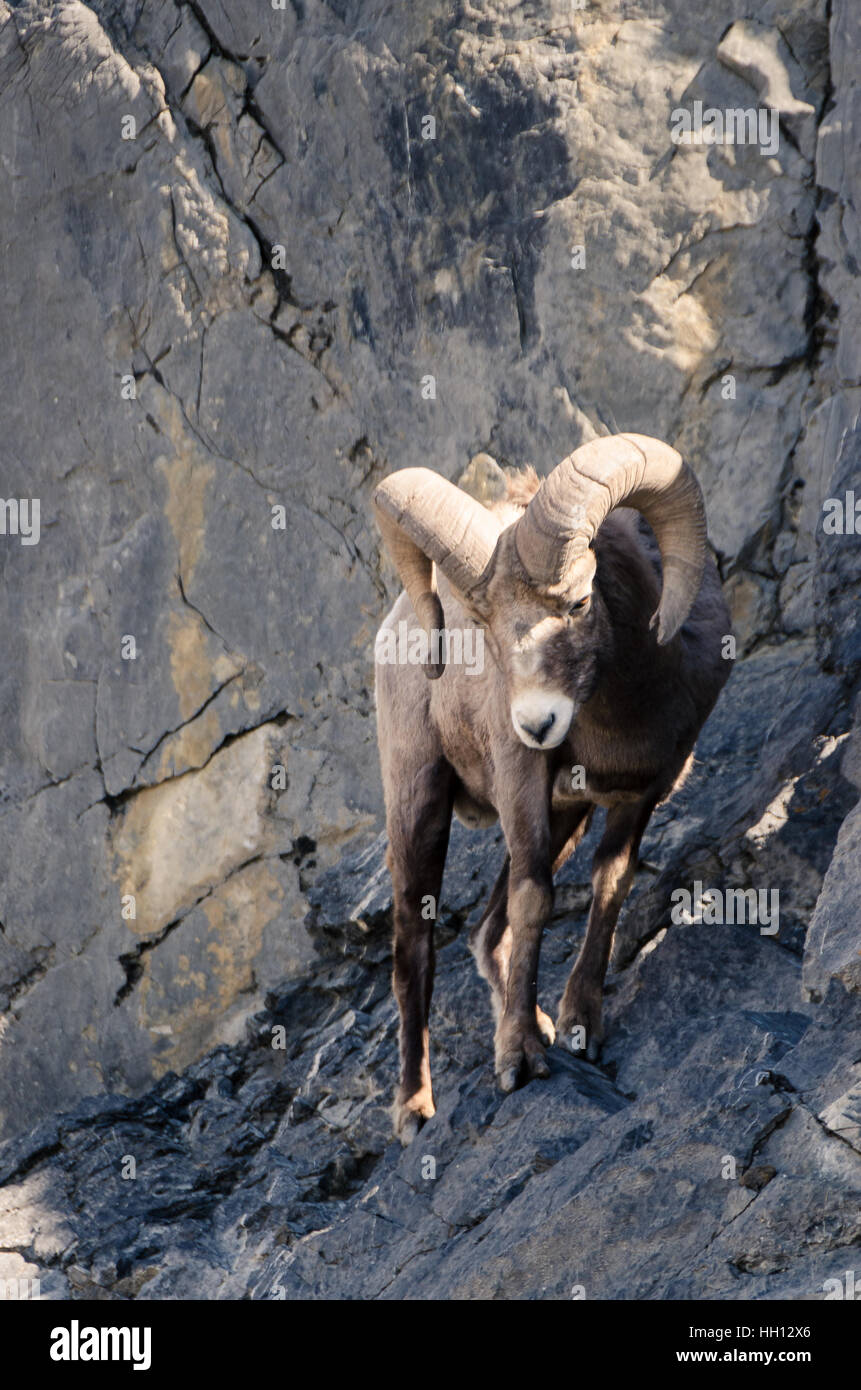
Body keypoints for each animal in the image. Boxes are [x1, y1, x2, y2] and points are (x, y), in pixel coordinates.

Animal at [373, 434, 731, 1143]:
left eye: (579, 603)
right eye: (483, 624)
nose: (538, 723)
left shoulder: (638, 794)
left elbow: (610, 885)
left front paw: (575, 1026)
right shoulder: (523, 782)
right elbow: (535, 900)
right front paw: (519, 1061)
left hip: (565, 818)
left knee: (488, 933)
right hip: (420, 802)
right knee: (414, 947)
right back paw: (413, 1110)